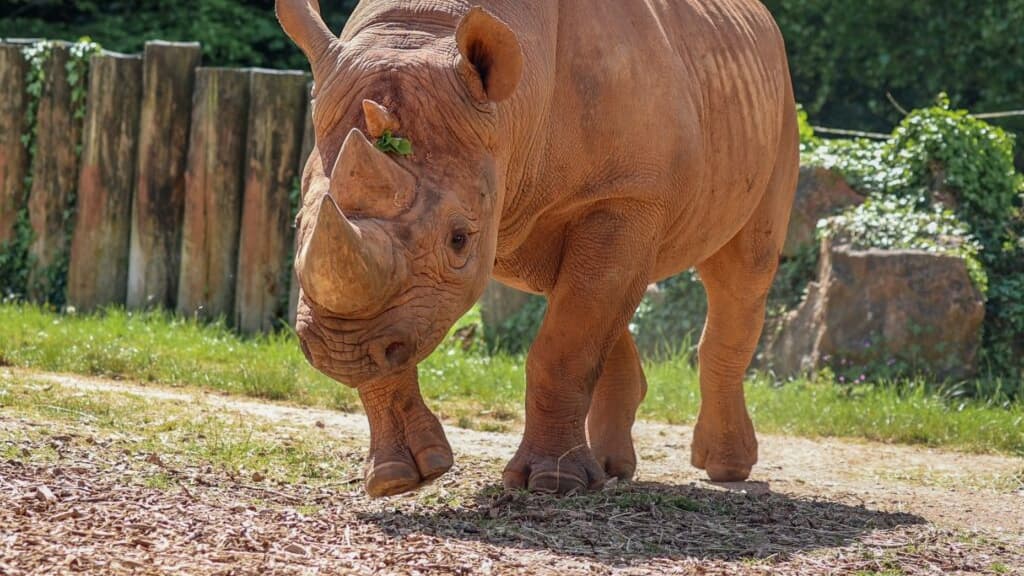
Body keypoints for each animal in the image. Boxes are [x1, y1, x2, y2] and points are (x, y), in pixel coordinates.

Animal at [278, 0, 799, 497]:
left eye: (458, 239)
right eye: (299, 224)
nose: (336, 350)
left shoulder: (628, 193)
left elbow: (565, 346)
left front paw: (552, 483)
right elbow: (388, 335)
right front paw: (398, 478)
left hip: (778, 112)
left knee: (739, 276)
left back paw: (726, 468)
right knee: (595, 290)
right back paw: (612, 468)